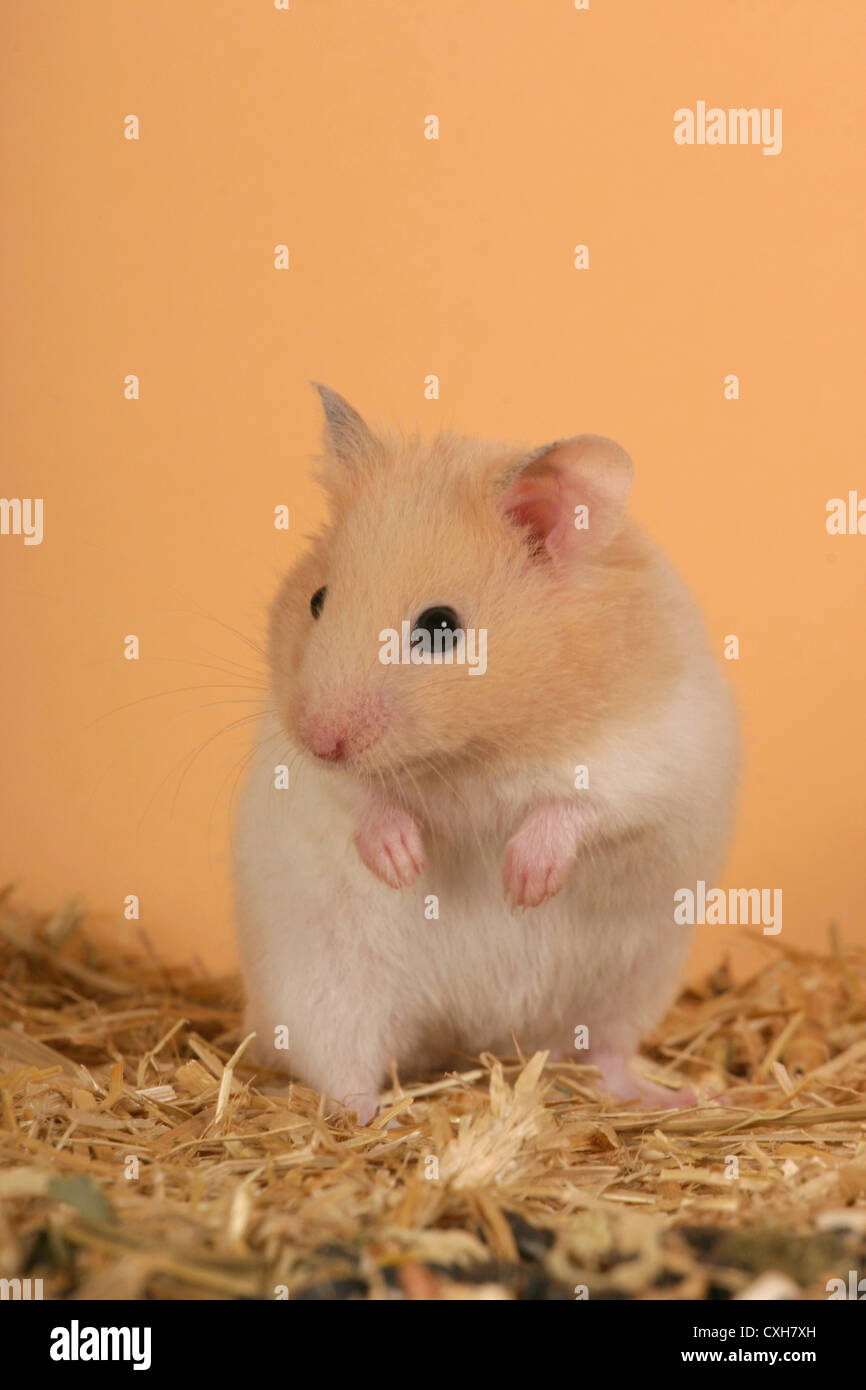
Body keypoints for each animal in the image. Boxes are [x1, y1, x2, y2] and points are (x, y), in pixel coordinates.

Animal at [233, 385, 739, 1123]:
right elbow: (357, 797)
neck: (473, 752)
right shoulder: (305, 766)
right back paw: (379, 1116)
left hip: (626, 988)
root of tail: (470, 1030)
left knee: (606, 1057)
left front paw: (521, 884)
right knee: (342, 1071)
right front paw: (404, 862)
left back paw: (679, 1096)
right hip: (323, 987)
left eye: (441, 628)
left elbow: (578, 808)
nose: (319, 738)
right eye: (317, 600)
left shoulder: (651, 755)